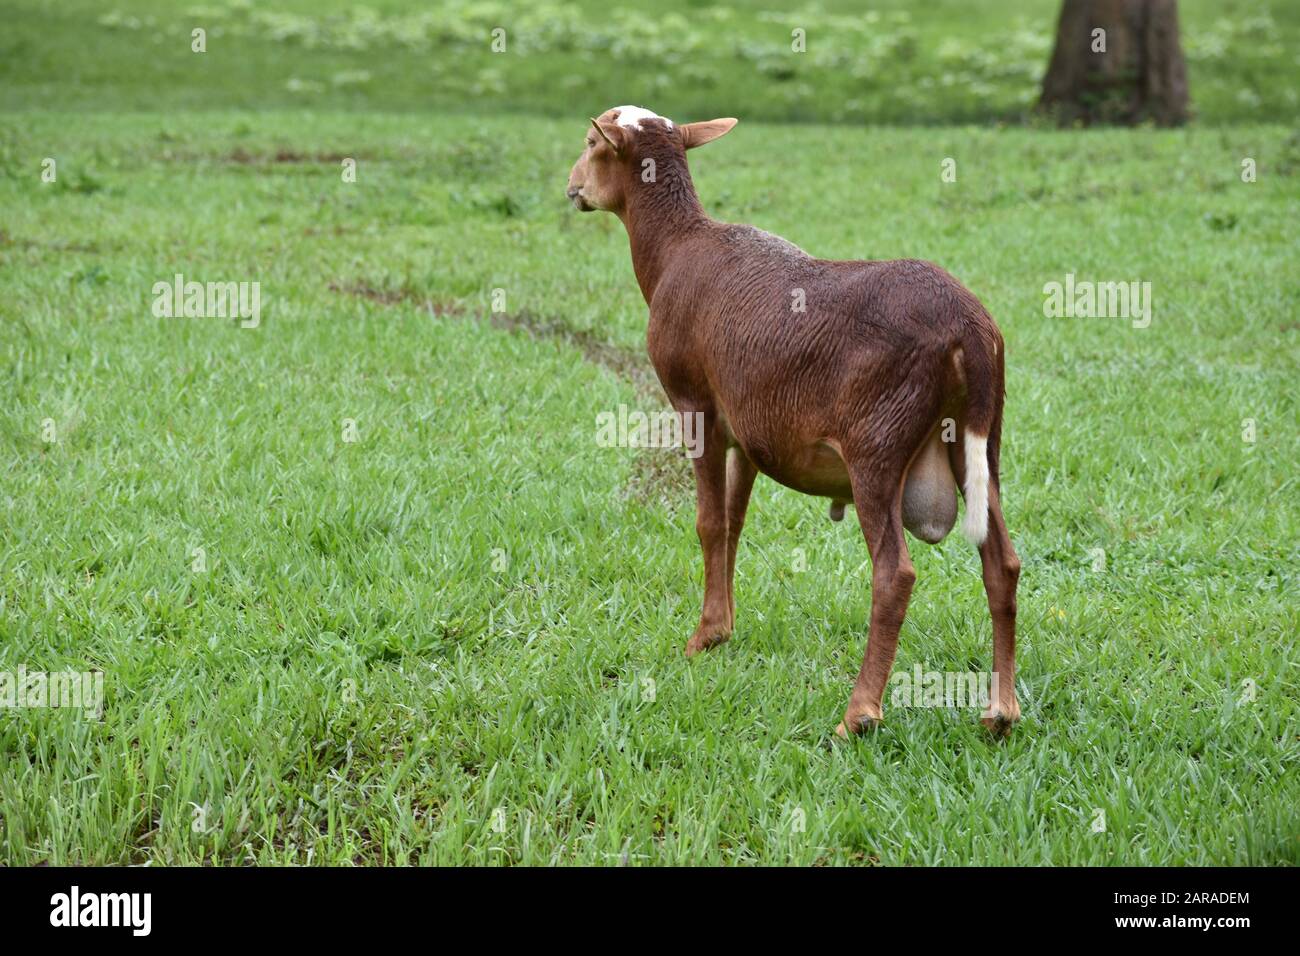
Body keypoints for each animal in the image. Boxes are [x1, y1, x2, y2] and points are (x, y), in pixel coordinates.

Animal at [567, 106, 1021, 737]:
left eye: (591, 142)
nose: (572, 188)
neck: (675, 247)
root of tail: (968, 326)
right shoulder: (747, 433)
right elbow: (733, 523)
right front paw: (722, 629)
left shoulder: (696, 407)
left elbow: (708, 521)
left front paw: (700, 639)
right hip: (981, 440)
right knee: (1002, 561)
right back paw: (1001, 712)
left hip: (878, 445)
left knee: (894, 574)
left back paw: (858, 716)